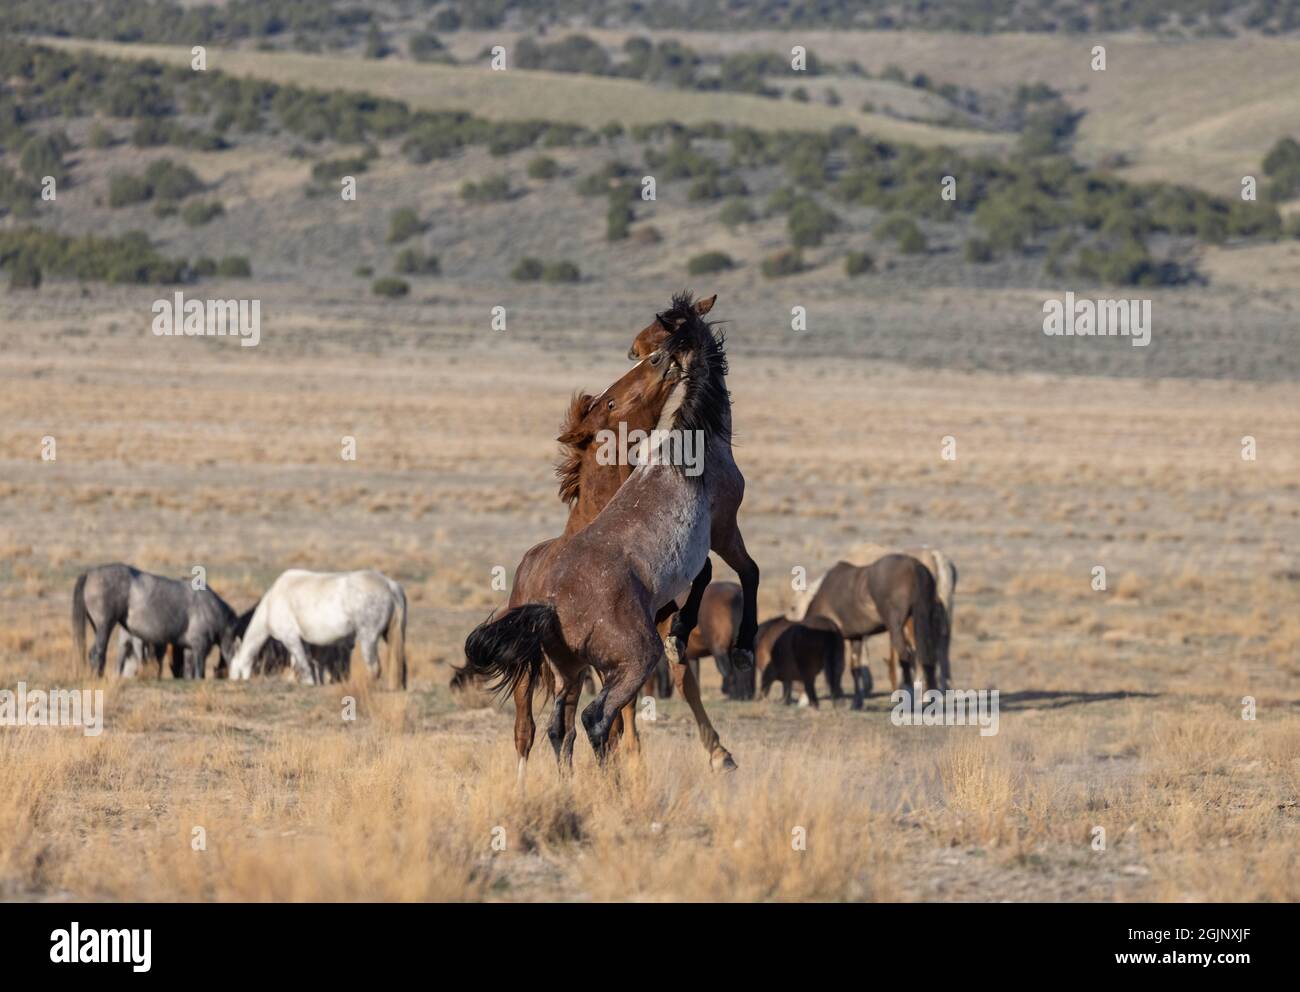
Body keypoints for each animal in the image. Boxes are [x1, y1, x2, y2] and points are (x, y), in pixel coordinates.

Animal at [71, 563, 238, 678]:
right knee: (98, 652)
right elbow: (199, 672)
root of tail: (89, 573)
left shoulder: (189, 649)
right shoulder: (200, 647)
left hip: (98, 627)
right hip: (105, 626)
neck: (211, 607)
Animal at [228, 569, 407, 689]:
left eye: (233, 667)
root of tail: (390, 586)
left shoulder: (290, 637)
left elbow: (302, 663)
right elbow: (304, 662)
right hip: (392, 635)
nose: (233, 680)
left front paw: (308, 682)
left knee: (374, 667)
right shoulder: (303, 641)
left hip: (368, 637)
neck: (271, 603)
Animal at [463, 292, 737, 785]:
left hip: (568, 668)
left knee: (564, 726)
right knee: (548, 725)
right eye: (609, 402)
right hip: (561, 667)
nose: (652, 357)